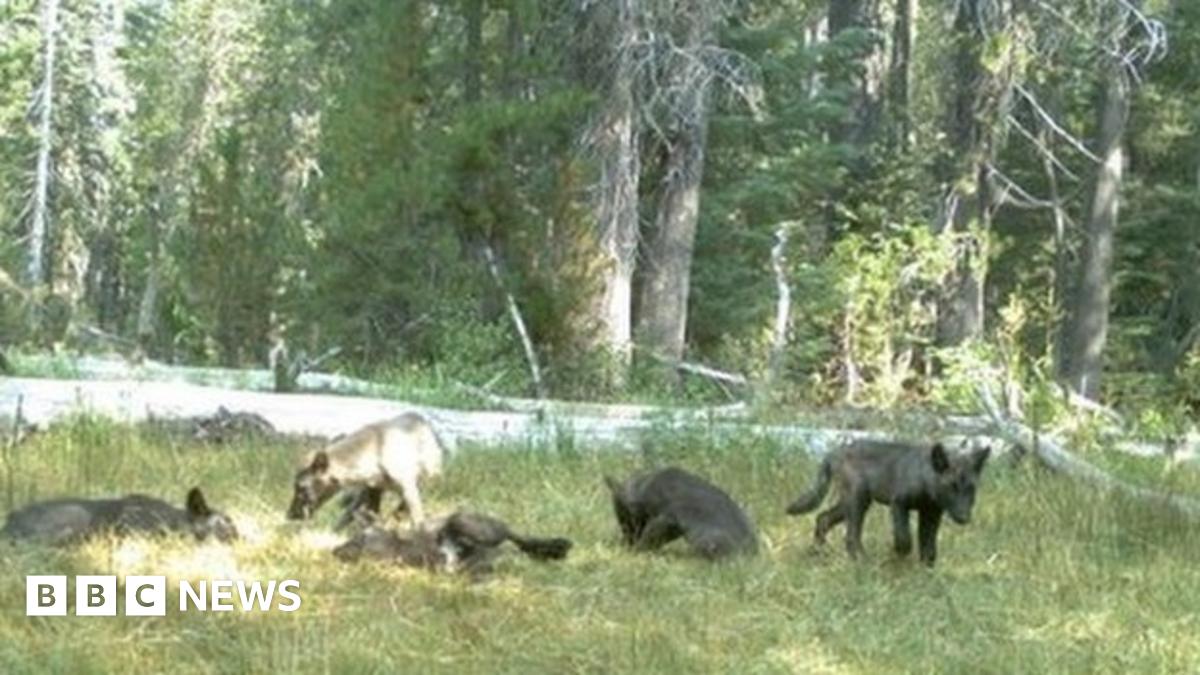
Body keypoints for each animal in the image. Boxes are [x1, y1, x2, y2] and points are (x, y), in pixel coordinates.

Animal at [286, 412, 446, 527]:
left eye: (301, 487)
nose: (290, 515)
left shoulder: (408, 486)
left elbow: (417, 519)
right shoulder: (373, 489)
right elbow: (367, 516)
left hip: (427, 478)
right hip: (366, 493)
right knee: (350, 512)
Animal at [785, 440, 990, 565]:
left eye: (971, 489)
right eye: (951, 487)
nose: (964, 518)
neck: (925, 479)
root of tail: (834, 452)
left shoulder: (931, 514)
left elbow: (929, 547)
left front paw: (926, 572)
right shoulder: (898, 503)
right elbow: (904, 538)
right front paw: (897, 557)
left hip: (850, 503)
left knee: (823, 518)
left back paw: (817, 554)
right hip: (858, 500)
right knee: (851, 536)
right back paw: (863, 563)